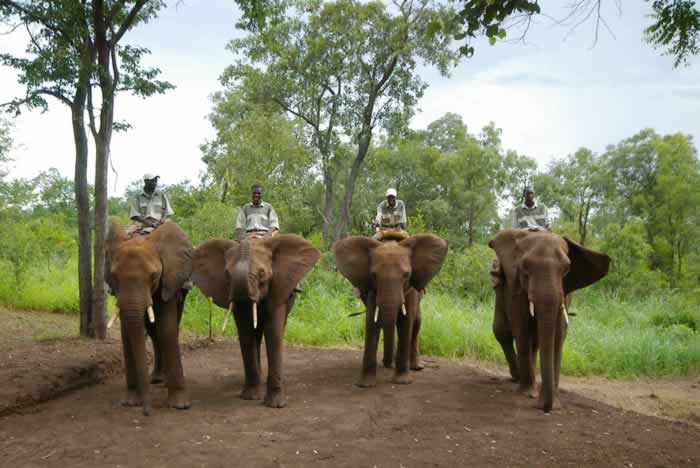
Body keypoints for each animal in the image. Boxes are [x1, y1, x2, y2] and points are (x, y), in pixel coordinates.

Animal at [105, 221, 193, 416]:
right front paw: (130, 402)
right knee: (153, 333)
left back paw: (163, 381)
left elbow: (167, 329)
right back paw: (157, 379)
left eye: (153, 276)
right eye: (114, 277)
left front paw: (180, 405)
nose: (147, 412)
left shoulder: (168, 280)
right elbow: (126, 334)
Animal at [191, 234, 320, 408]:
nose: (244, 240)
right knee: (255, 334)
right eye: (227, 274)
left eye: (262, 274)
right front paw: (249, 397)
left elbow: (273, 333)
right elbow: (245, 332)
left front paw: (275, 405)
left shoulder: (278, 286)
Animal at [332, 234, 448, 387]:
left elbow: (406, 321)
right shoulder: (372, 289)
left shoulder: (410, 289)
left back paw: (414, 366)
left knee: (417, 322)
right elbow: (372, 321)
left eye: (406, 275)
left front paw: (402, 382)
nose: (388, 365)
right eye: (373, 275)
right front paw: (366, 384)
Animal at [488, 229, 610, 413]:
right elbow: (521, 329)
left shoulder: (564, 292)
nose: (546, 409)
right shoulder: (515, 288)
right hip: (501, 291)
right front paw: (527, 394)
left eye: (567, 269)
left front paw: (554, 403)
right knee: (502, 332)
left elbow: (558, 334)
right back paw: (518, 378)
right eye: (525, 268)